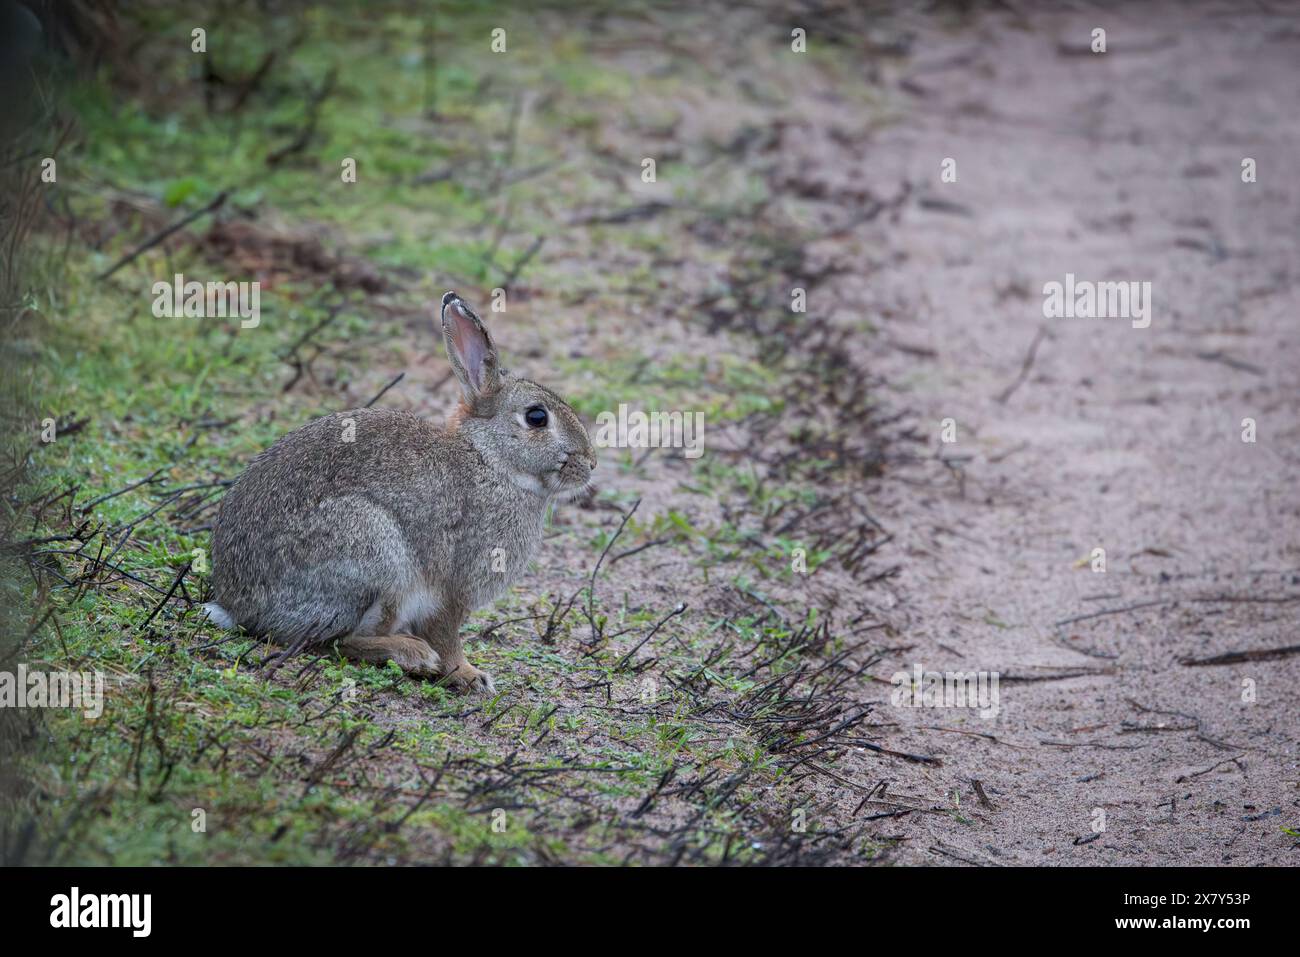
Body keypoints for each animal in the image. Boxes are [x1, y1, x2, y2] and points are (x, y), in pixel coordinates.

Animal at [202, 291, 597, 693]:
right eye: (537, 417)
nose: (591, 463)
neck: (490, 460)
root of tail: (239, 606)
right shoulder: (451, 588)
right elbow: (447, 637)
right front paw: (470, 676)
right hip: (374, 551)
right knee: (336, 640)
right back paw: (414, 655)